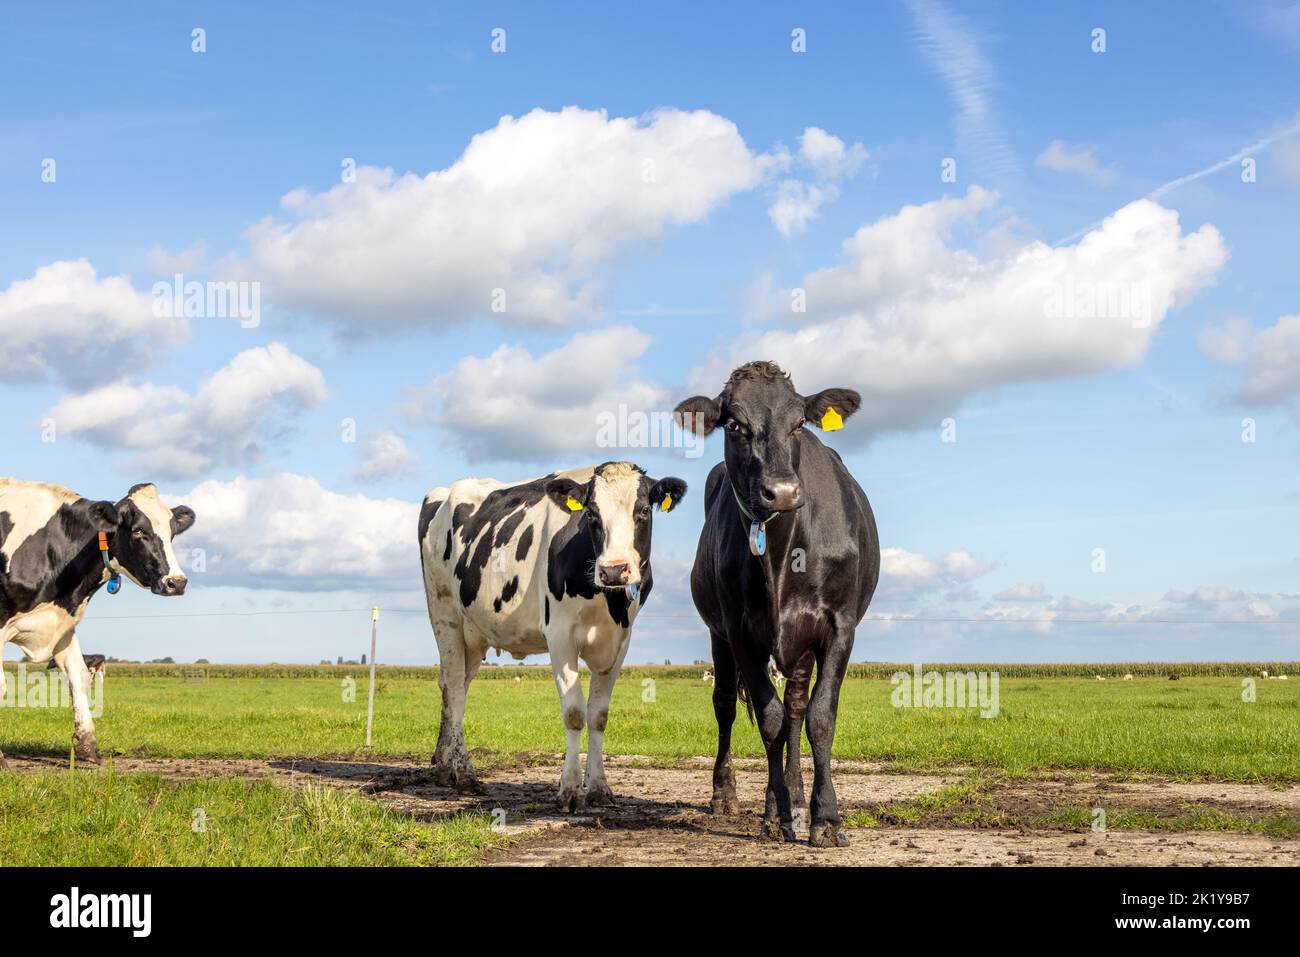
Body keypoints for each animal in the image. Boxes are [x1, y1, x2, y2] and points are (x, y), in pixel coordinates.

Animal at [1, 479, 195, 765]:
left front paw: (88, 748)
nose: (177, 582)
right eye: (138, 531)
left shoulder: (64, 625)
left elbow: (79, 677)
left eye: (171, 533)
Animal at [418, 462, 686, 810]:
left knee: (456, 687)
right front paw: (570, 790)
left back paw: (446, 766)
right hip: (444, 613)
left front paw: (599, 788)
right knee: (453, 689)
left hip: (473, 632)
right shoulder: (560, 635)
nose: (614, 570)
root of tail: (443, 491)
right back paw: (462, 775)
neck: (605, 600)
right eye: (591, 514)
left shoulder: (620, 640)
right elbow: (574, 713)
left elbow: (598, 716)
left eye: (642, 511)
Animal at [675, 361, 879, 847]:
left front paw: (826, 818)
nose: (782, 492)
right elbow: (769, 720)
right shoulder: (740, 632)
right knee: (728, 704)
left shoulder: (839, 626)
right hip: (720, 636)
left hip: (800, 644)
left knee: (797, 709)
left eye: (799, 423)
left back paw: (798, 797)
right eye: (734, 425)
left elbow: (819, 717)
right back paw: (735, 797)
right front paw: (776, 814)